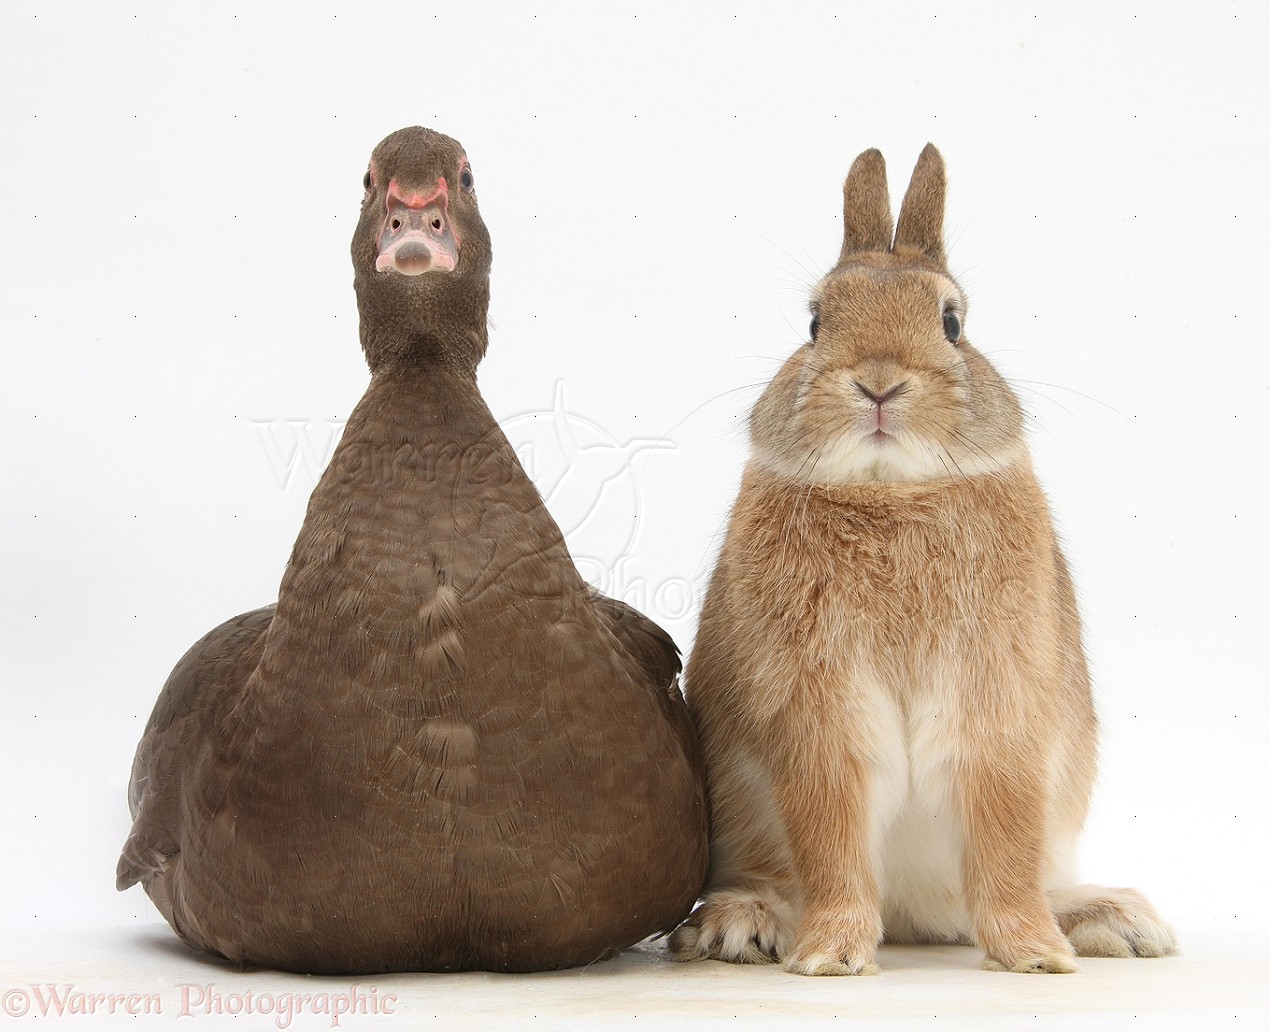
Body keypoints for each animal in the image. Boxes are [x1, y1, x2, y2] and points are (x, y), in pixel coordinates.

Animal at [668, 144, 1177, 975]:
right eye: (815, 322)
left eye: (952, 322)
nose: (879, 381)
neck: (893, 493)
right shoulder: (820, 716)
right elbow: (833, 843)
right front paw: (831, 956)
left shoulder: (998, 713)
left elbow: (1005, 846)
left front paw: (1036, 956)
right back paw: (739, 923)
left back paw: (1112, 919)